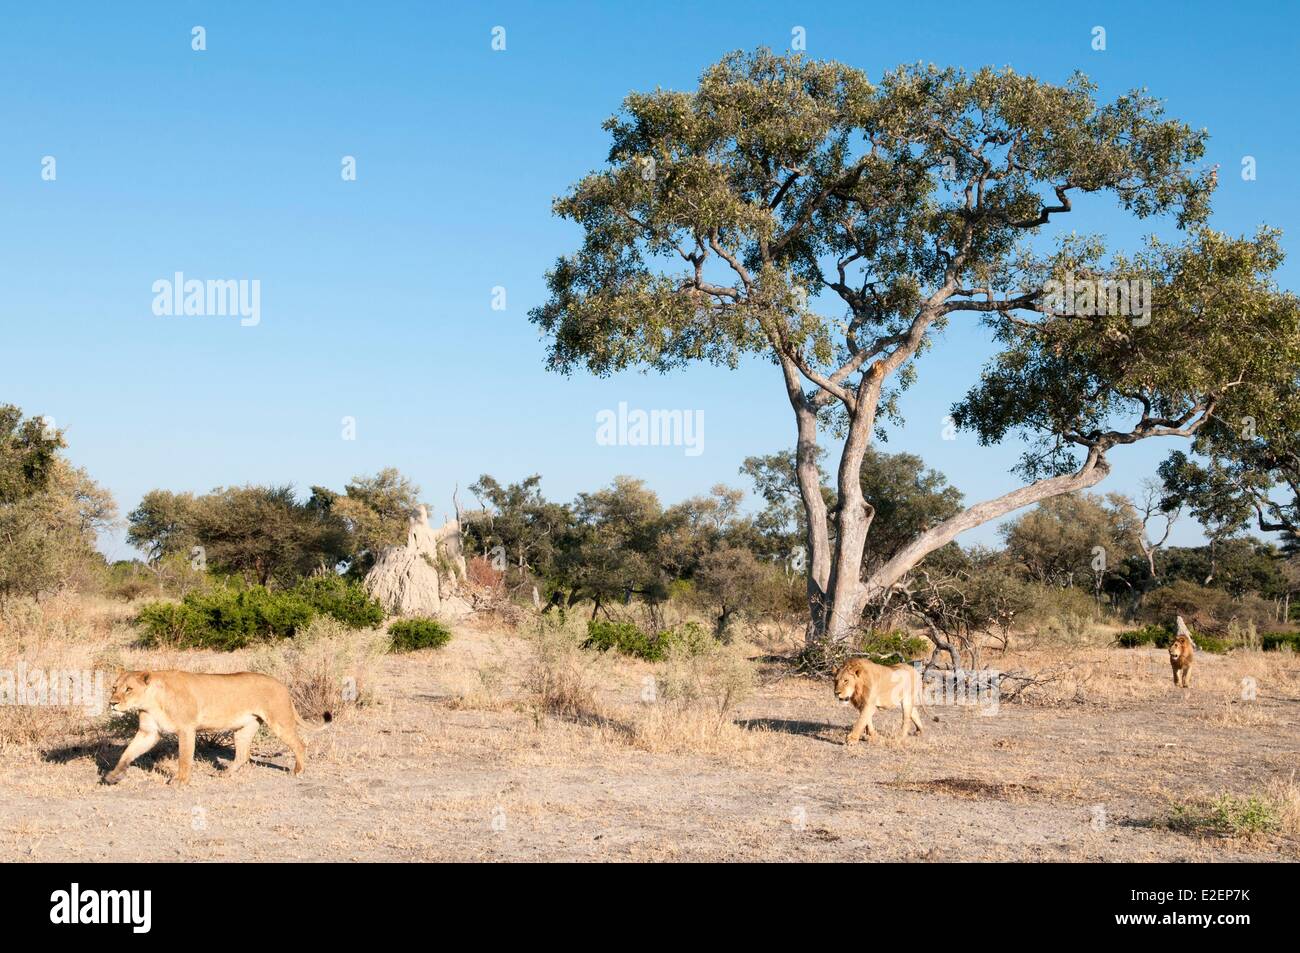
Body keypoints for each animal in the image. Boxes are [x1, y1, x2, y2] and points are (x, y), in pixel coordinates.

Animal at [105, 670, 330, 785]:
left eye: (129, 689)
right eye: (114, 688)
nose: (112, 703)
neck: (151, 701)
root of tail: (282, 685)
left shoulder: (186, 729)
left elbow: (184, 759)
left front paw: (180, 781)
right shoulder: (148, 732)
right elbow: (128, 752)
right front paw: (113, 775)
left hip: (279, 722)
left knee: (300, 744)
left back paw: (298, 771)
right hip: (244, 728)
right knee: (243, 755)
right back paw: (225, 774)